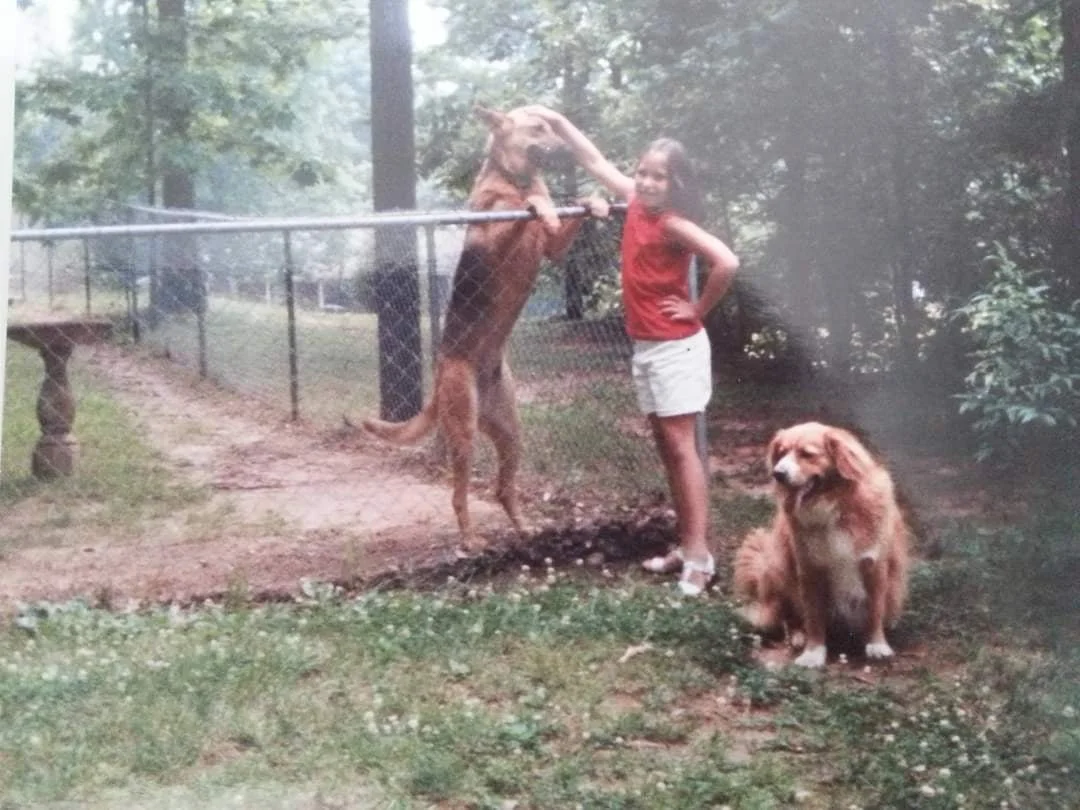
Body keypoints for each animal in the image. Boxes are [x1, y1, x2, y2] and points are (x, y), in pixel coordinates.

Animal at [362, 105, 588, 550]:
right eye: (538, 129)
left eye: (552, 127)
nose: (571, 150)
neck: (515, 178)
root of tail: (440, 378)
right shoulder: (497, 235)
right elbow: (529, 206)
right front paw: (538, 203)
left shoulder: (554, 248)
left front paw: (593, 201)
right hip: (464, 431)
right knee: (459, 495)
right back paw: (470, 540)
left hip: (511, 433)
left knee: (502, 489)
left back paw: (524, 529)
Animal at [733, 422, 911, 668]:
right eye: (782, 453)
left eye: (806, 454)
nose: (778, 474)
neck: (835, 505)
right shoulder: (809, 568)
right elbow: (814, 616)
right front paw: (813, 652)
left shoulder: (874, 565)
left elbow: (875, 610)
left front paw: (877, 645)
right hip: (777, 567)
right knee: (789, 617)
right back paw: (798, 636)